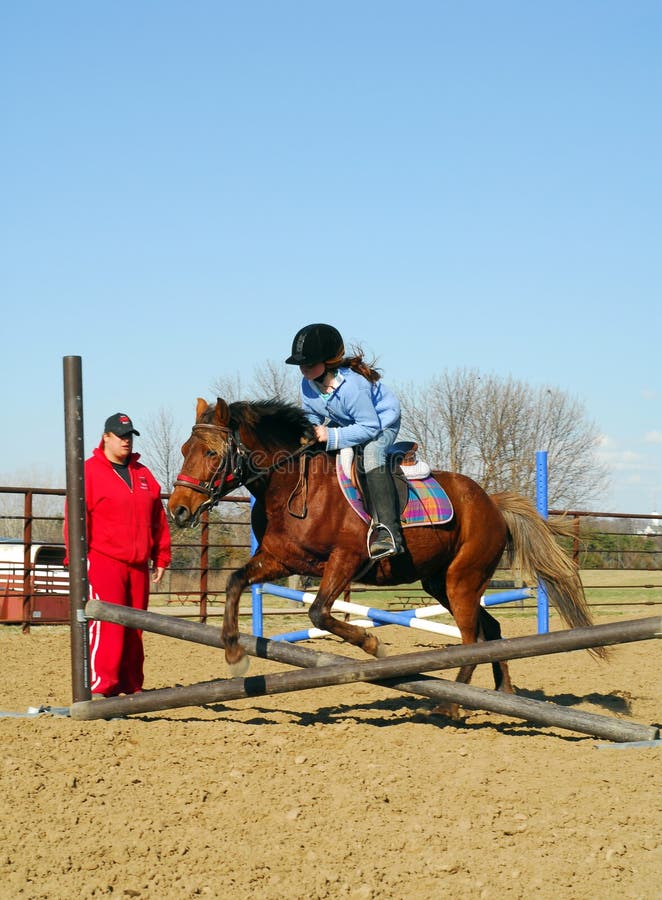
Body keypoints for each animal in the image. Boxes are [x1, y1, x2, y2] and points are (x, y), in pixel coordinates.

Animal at [168, 397, 598, 709]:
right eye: (186, 448)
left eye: (210, 453)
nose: (177, 510)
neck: (293, 485)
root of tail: (493, 504)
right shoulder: (282, 560)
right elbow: (234, 582)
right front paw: (233, 654)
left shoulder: (345, 560)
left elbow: (318, 612)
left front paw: (374, 644)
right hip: (440, 582)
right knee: (489, 630)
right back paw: (501, 695)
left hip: (462, 580)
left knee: (472, 637)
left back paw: (452, 705)